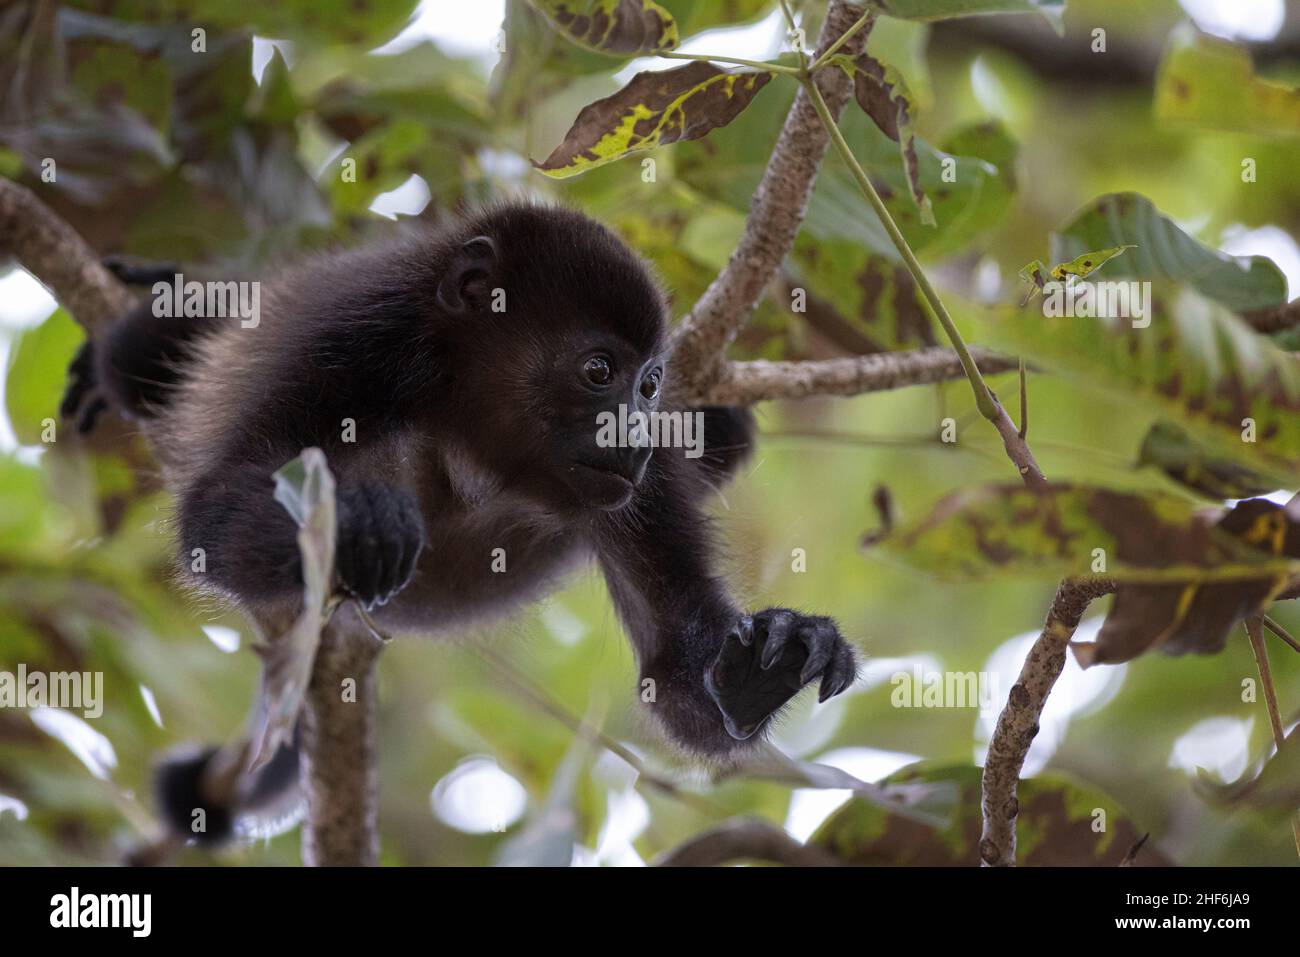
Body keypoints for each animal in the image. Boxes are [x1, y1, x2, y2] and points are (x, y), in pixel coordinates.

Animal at [63, 202, 859, 845]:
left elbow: (677, 665)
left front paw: (759, 673)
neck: (475, 423)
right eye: (599, 369)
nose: (633, 430)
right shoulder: (353, 337)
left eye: (649, 383)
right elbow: (211, 508)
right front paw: (356, 523)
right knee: (134, 355)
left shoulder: (649, 474)